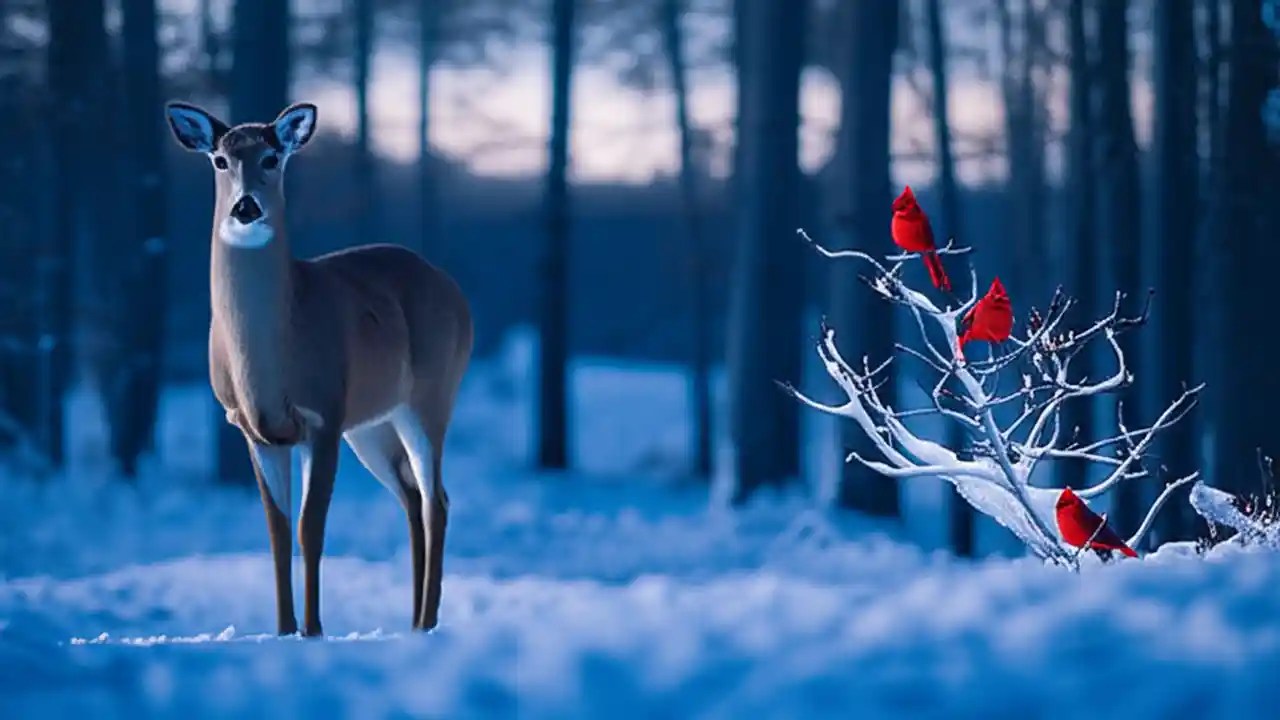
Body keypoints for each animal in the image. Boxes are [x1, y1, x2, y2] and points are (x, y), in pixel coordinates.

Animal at [164, 101, 473, 637]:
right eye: (220, 160)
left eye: (272, 157)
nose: (246, 207)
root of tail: (456, 293)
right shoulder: (253, 430)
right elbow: (277, 530)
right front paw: (284, 629)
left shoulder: (323, 416)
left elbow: (311, 528)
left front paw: (313, 629)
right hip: (372, 427)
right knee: (412, 496)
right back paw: (412, 619)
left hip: (431, 397)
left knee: (437, 500)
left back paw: (427, 622)